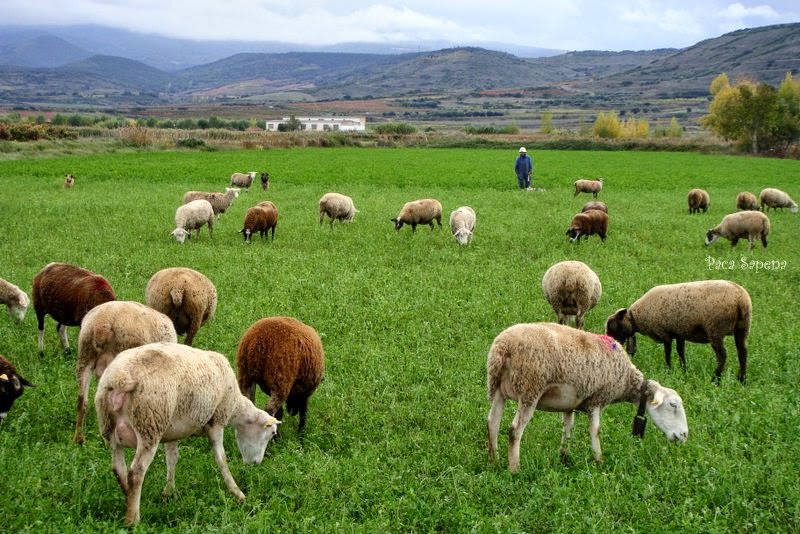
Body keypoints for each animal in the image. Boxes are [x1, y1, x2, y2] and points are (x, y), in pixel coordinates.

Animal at [95, 342, 280, 526]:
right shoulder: (216, 420)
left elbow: (172, 458)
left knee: (118, 469)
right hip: (149, 424)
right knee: (136, 472)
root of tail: (119, 378)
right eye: (272, 433)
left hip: (111, 431)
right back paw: (132, 519)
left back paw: (129, 498)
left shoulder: (171, 431)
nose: (256, 463)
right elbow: (221, 459)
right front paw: (238, 493)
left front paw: (169, 492)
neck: (235, 407)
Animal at [486, 322, 688, 472]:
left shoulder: (569, 403)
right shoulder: (597, 400)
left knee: (492, 422)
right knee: (514, 430)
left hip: (498, 389)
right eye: (673, 405)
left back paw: (494, 459)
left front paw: (564, 457)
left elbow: (568, 428)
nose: (684, 435)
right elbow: (596, 431)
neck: (626, 380)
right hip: (530, 388)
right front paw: (600, 462)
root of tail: (503, 347)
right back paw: (514, 469)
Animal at [605, 280, 751, 384]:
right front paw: (683, 370)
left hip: (716, 330)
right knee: (742, 352)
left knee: (722, 356)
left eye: (613, 327)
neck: (637, 317)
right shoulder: (679, 333)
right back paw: (741, 379)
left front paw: (668, 370)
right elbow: (680, 352)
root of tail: (741, 300)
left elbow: (667, 353)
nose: (610, 345)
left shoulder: (664, 333)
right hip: (742, 328)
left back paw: (715, 379)